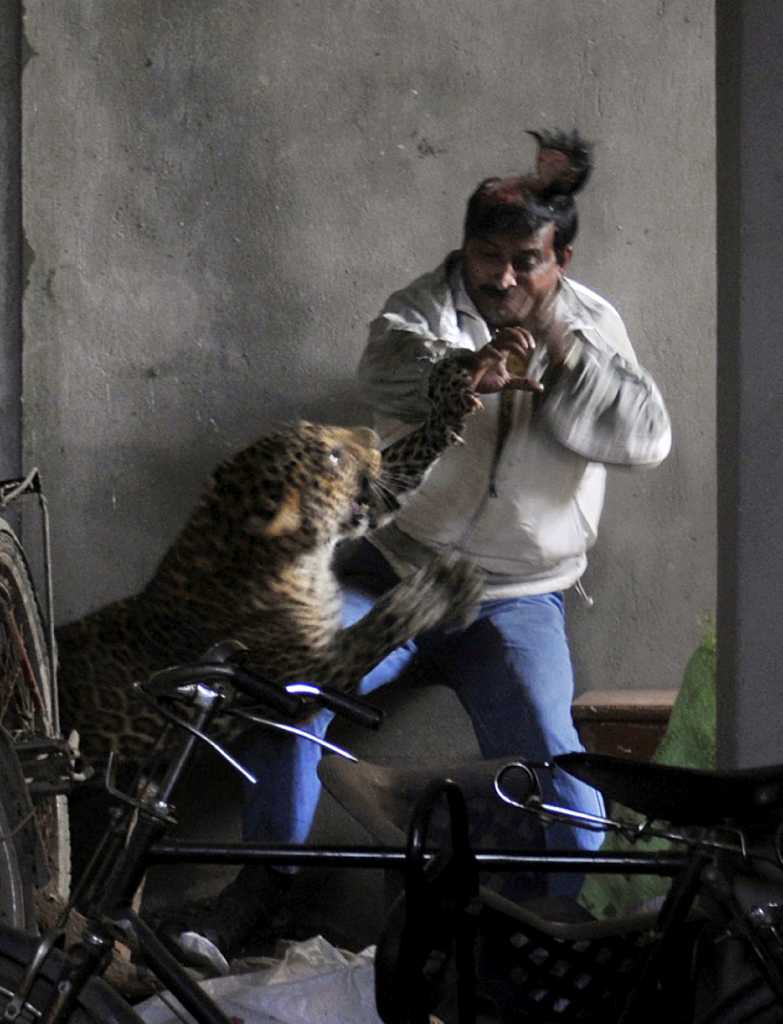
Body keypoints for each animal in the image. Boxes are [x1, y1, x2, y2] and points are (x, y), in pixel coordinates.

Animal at [56, 355, 485, 764]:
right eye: (334, 456)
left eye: (318, 428)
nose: (372, 434)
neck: (302, 561)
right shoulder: (301, 685)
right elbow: (382, 624)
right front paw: (442, 585)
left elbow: (402, 466)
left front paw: (448, 397)